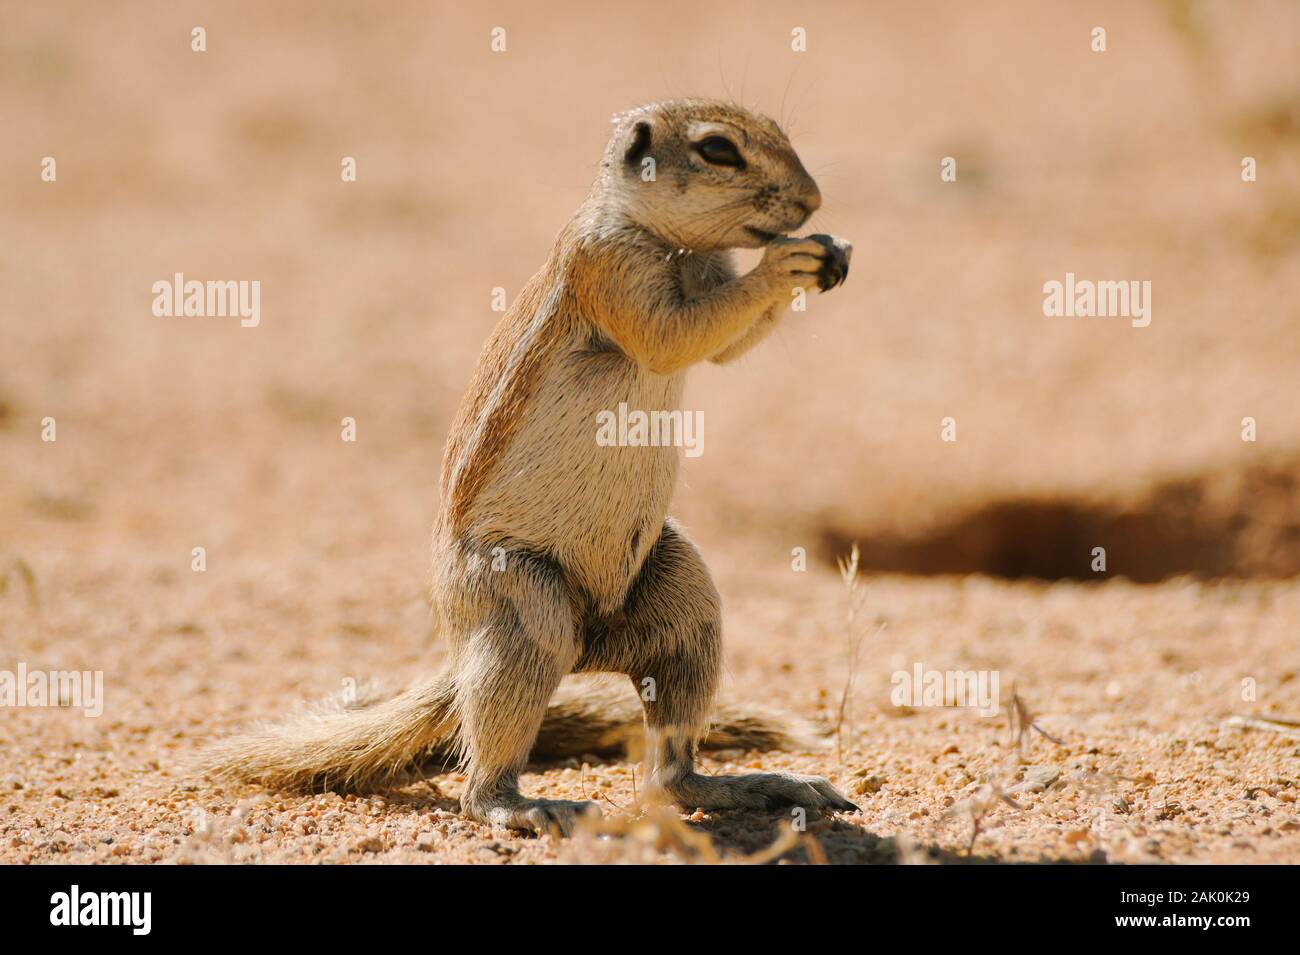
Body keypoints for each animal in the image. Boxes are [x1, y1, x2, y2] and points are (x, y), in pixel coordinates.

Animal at [202, 99, 856, 835]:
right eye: (718, 149)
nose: (813, 200)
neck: (668, 238)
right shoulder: (608, 267)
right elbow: (675, 336)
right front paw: (786, 261)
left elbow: (724, 345)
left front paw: (832, 252)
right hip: (523, 609)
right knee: (483, 775)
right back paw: (526, 805)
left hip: (683, 600)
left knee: (669, 776)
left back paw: (755, 786)